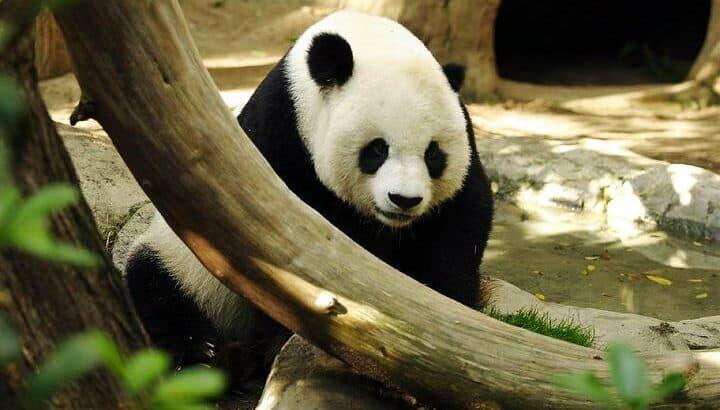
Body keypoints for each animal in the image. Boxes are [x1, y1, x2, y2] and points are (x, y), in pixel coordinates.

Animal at [125, 11, 493, 380]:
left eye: (433, 154)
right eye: (377, 150)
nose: (404, 200)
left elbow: (461, 221)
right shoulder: (280, 141)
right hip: (182, 263)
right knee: (157, 290)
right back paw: (204, 354)